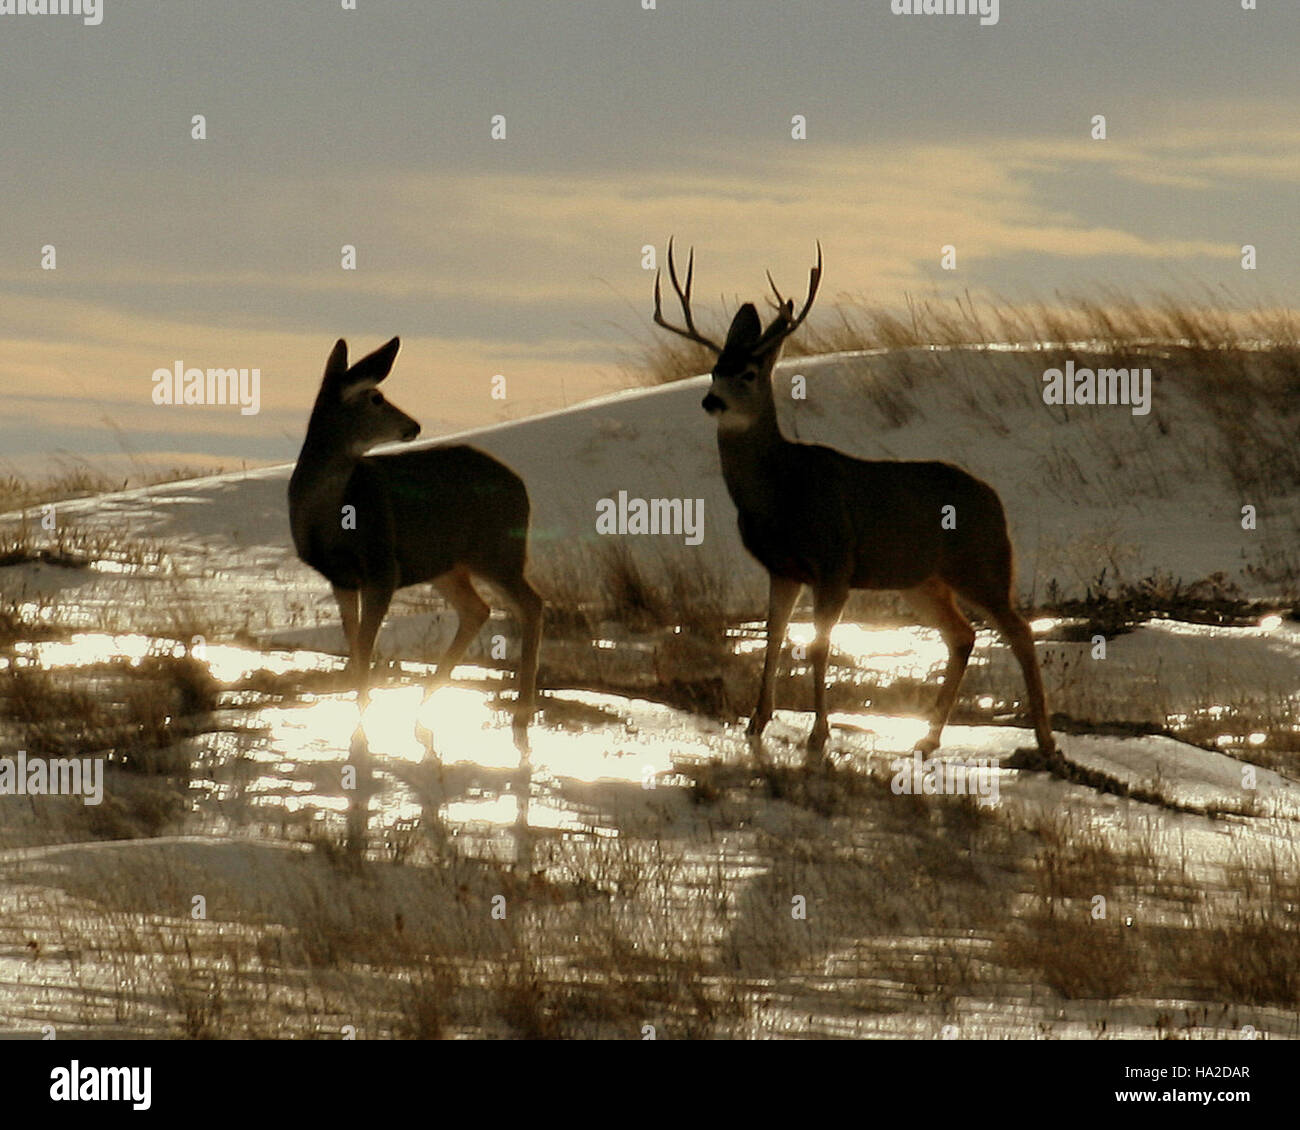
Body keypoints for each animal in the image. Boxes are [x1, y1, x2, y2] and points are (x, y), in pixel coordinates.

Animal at [288, 337, 543, 746]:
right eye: (376, 397)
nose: (414, 425)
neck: (332, 511)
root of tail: (520, 483)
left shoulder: (383, 565)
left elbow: (366, 642)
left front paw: (363, 712)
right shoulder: (340, 577)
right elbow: (353, 643)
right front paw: (359, 705)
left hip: (498, 550)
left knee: (531, 604)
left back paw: (521, 711)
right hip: (446, 563)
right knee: (477, 609)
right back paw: (427, 699)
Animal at [652, 241, 1056, 762]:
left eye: (748, 373)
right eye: (715, 369)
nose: (711, 402)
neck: (780, 491)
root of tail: (995, 500)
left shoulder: (835, 560)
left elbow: (819, 645)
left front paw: (818, 733)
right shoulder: (783, 568)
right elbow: (775, 638)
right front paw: (756, 721)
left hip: (981, 563)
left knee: (1019, 631)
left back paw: (1044, 739)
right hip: (921, 579)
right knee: (962, 635)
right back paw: (927, 737)